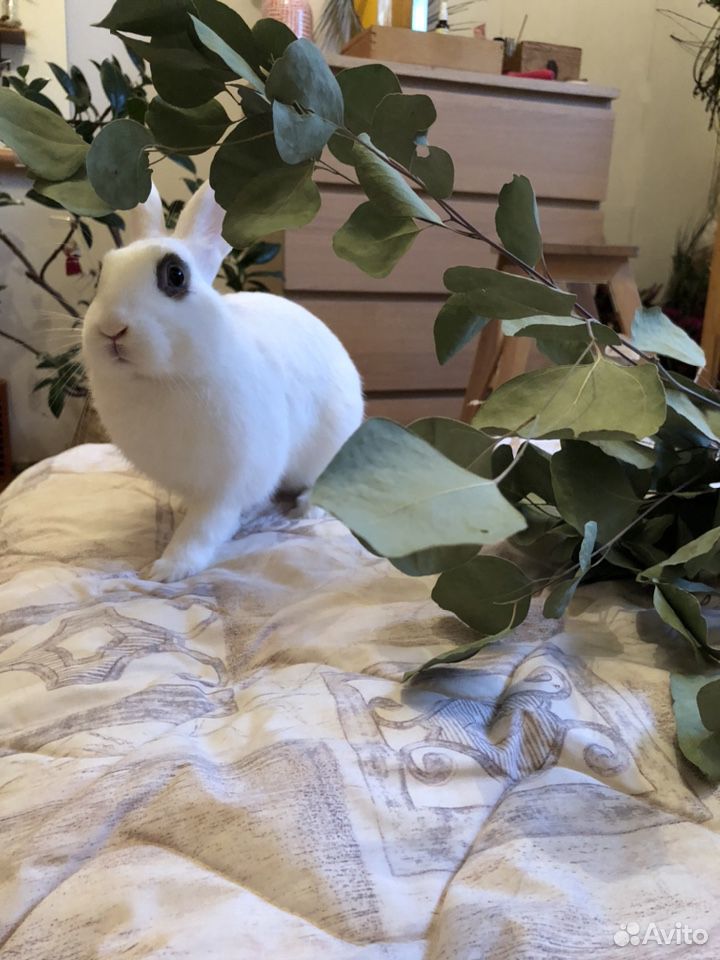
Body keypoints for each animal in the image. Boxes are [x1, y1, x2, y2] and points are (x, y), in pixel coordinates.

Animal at [82, 182, 364, 582]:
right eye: (102, 274)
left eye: (176, 276)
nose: (111, 329)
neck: (163, 380)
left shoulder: (227, 487)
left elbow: (203, 528)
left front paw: (167, 568)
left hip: (329, 446)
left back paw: (306, 510)